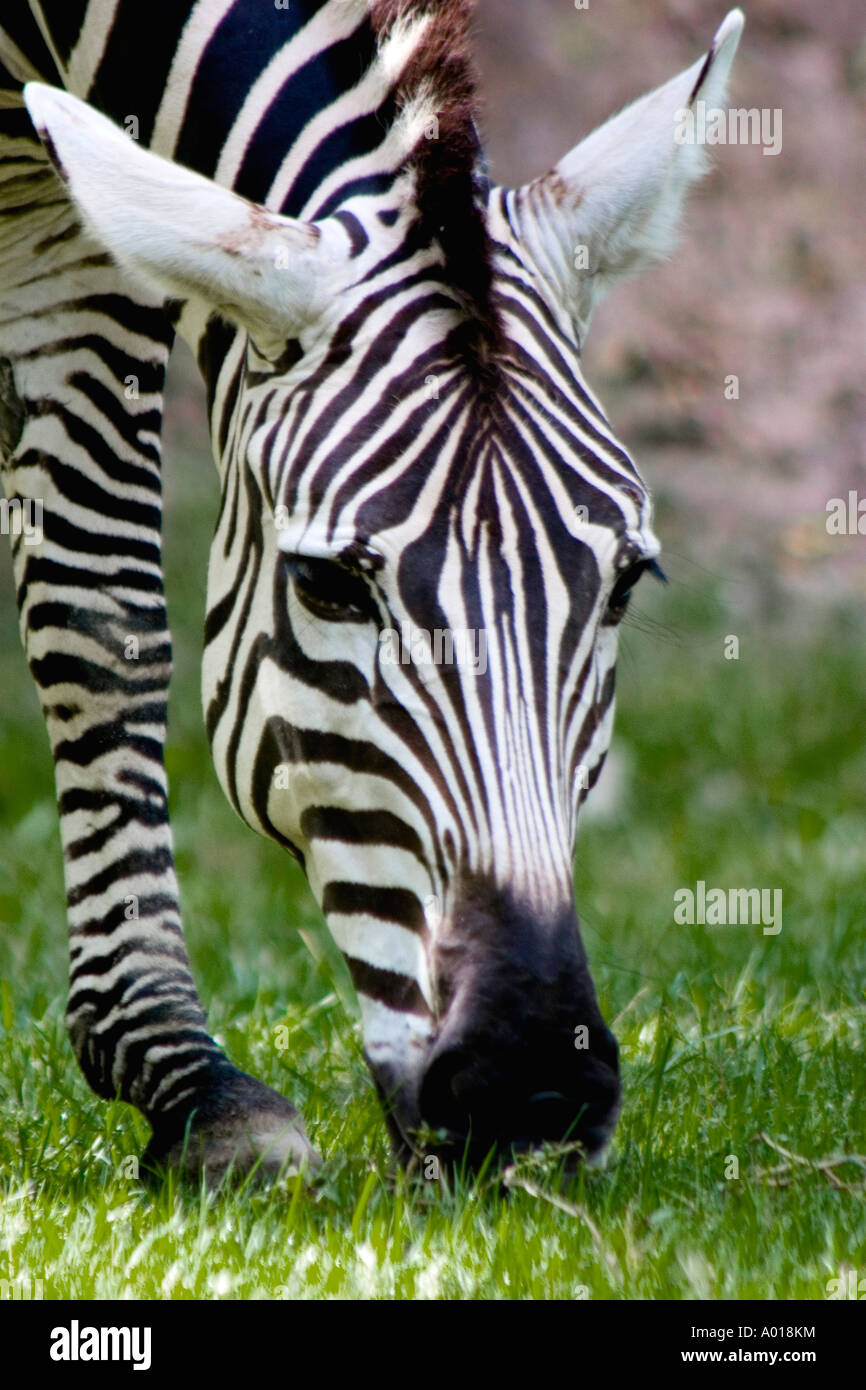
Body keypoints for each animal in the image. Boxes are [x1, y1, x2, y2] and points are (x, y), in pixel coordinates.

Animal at [0, 2, 743, 1179]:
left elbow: (95, 599)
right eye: (326, 584)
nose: (534, 1089)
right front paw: (185, 1079)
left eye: (626, 583)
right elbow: (98, 610)